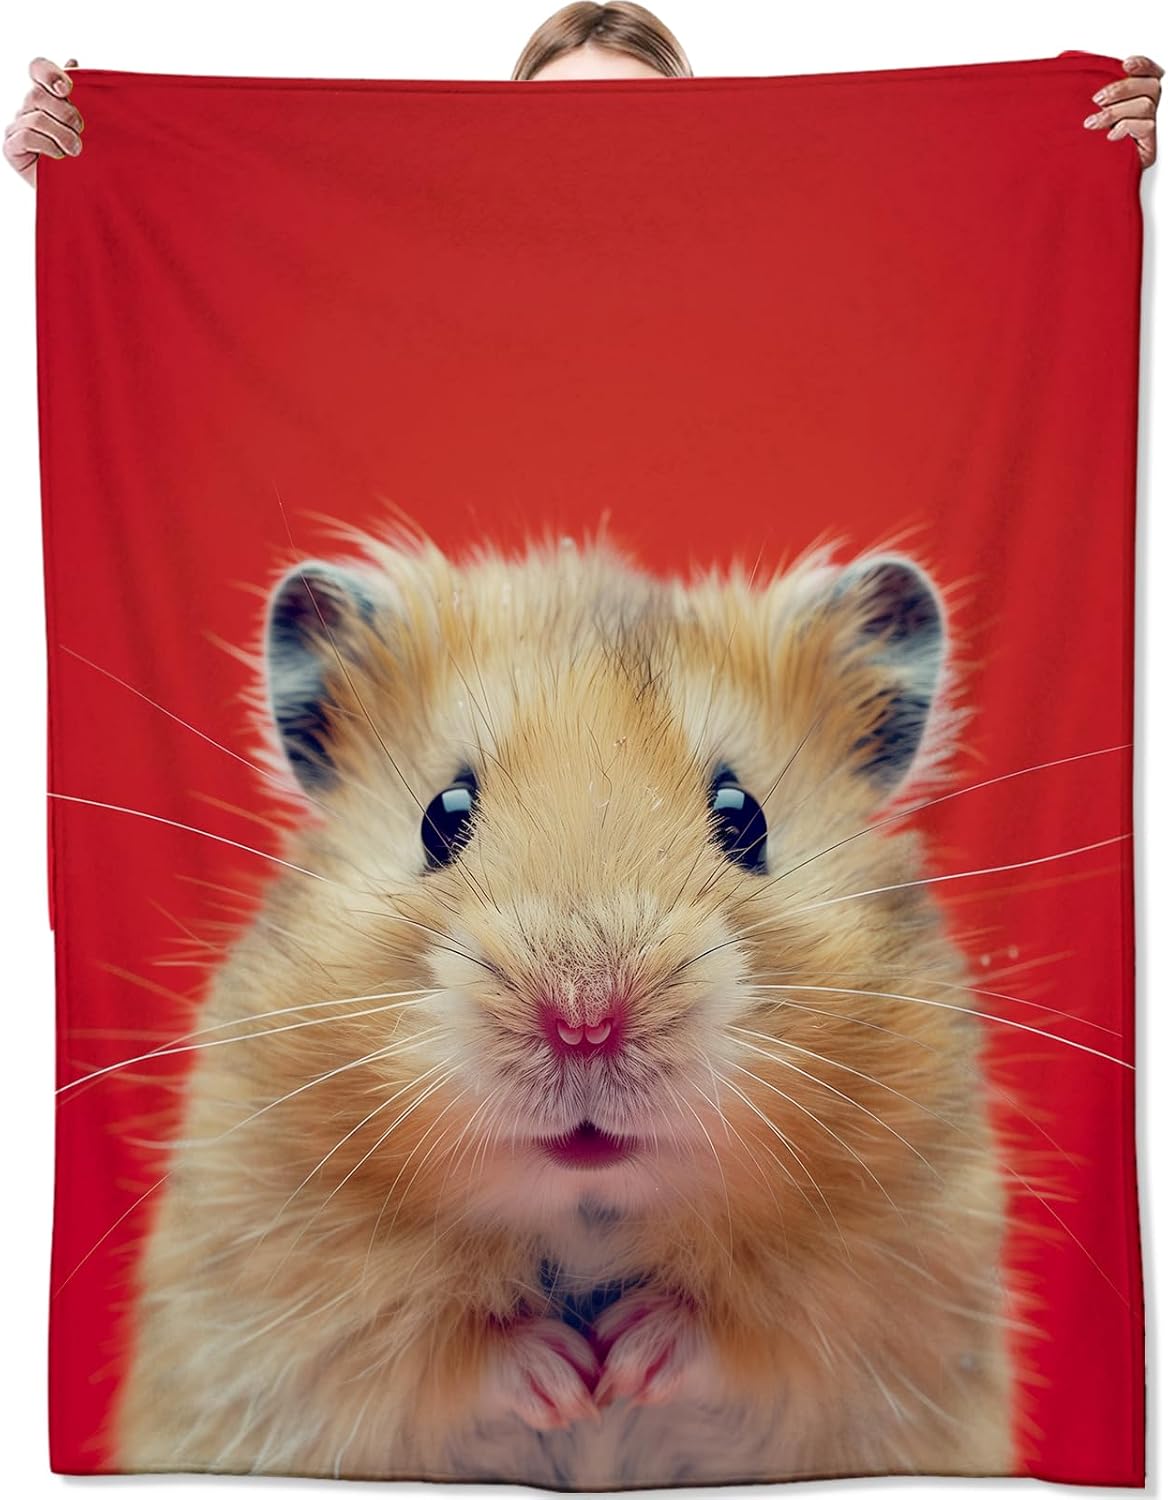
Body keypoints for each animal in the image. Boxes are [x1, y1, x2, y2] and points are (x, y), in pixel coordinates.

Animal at [113, 533, 1012, 1485]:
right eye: (443, 815)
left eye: (745, 817)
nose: (584, 1021)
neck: (587, 1215)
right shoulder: (284, 1265)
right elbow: (425, 1343)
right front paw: (570, 1382)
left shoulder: (893, 1275)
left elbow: (759, 1331)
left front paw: (623, 1363)